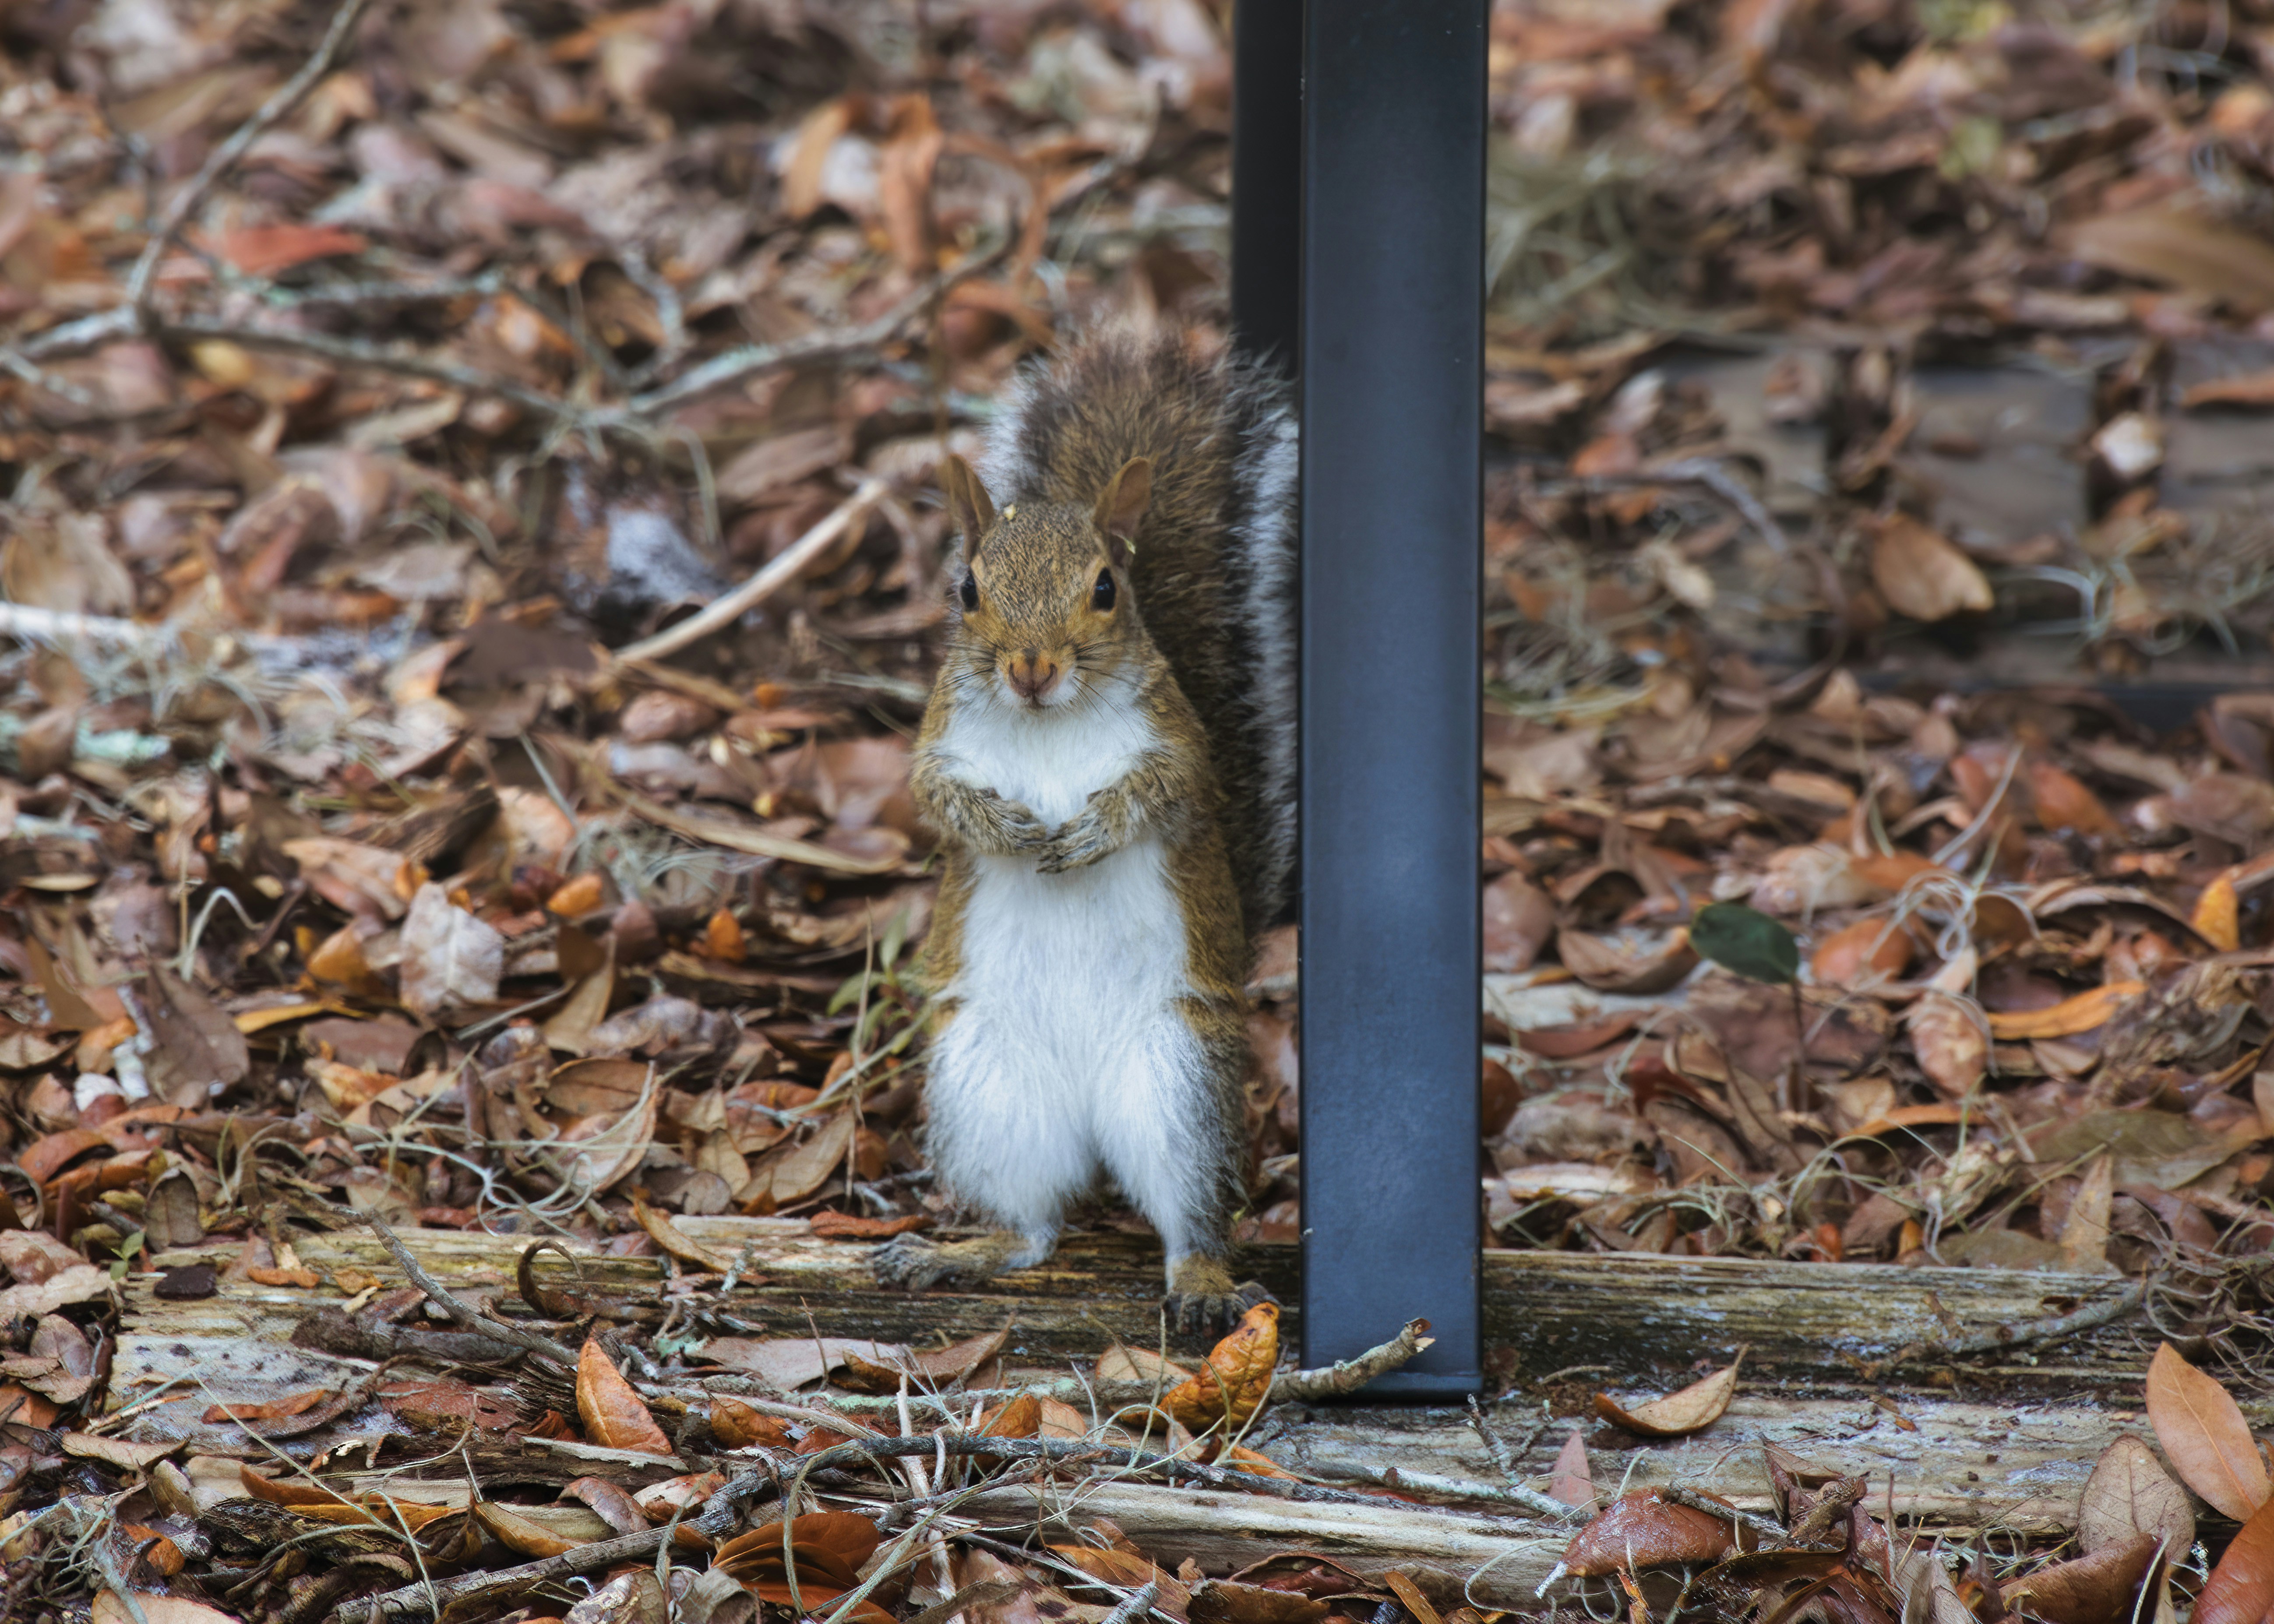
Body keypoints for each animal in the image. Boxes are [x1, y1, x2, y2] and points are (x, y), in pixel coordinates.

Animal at [873, 324, 1297, 1336]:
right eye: (966, 587)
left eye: (1106, 588)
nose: (1030, 667)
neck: (1047, 723)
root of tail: (1091, 1126)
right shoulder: (938, 746)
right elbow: (939, 799)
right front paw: (1009, 830)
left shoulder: (1179, 746)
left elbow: (1161, 790)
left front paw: (1091, 831)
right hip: (987, 1088)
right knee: (1034, 1229)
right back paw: (960, 1252)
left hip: (1179, 1085)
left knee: (1189, 1218)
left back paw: (1203, 1283)